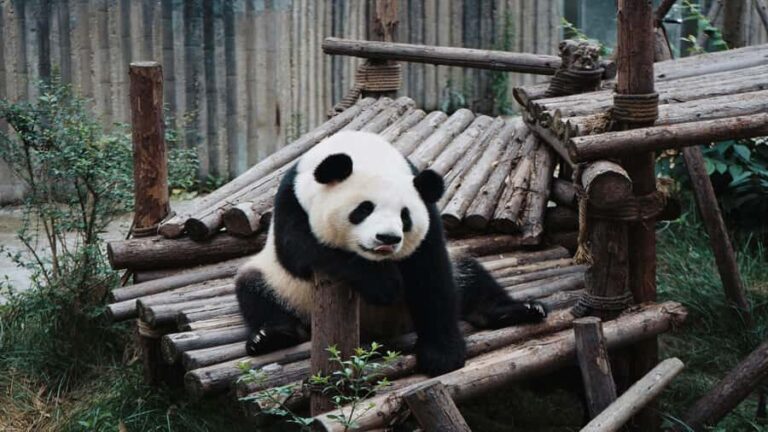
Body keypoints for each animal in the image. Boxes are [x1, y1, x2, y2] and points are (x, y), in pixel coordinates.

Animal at [235, 130, 547, 376]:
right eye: (363, 209)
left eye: (405, 216)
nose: (387, 238)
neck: (363, 150)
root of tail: (379, 330)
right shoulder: (292, 200)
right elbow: (304, 251)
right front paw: (383, 284)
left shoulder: (428, 213)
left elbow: (431, 275)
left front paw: (442, 354)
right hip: (283, 286)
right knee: (254, 289)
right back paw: (270, 337)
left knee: (472, 278)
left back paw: (519, 310)